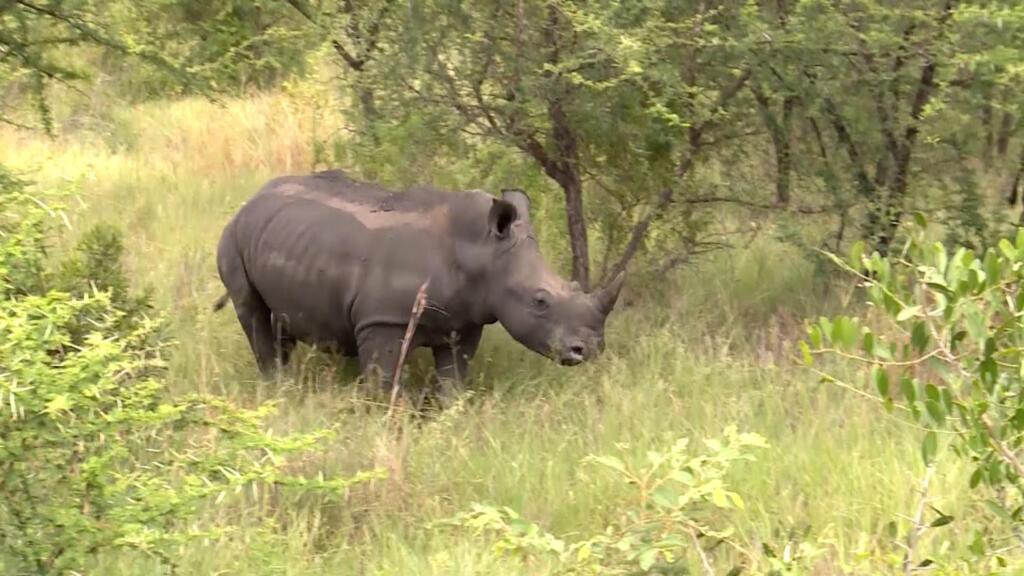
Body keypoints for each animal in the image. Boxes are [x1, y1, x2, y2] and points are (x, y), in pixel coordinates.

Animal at [212, 169, 624, 396]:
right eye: (540, 301)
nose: (589, 350)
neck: (480, 251)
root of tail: (252, 199)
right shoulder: (382, 320)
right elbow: (382, 381)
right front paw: (382, 419)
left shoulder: (465, 321)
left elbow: (454, 379)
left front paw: (452, 415)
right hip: (231, 234)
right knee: (251, 309)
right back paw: (276, 387)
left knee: (280, 317)